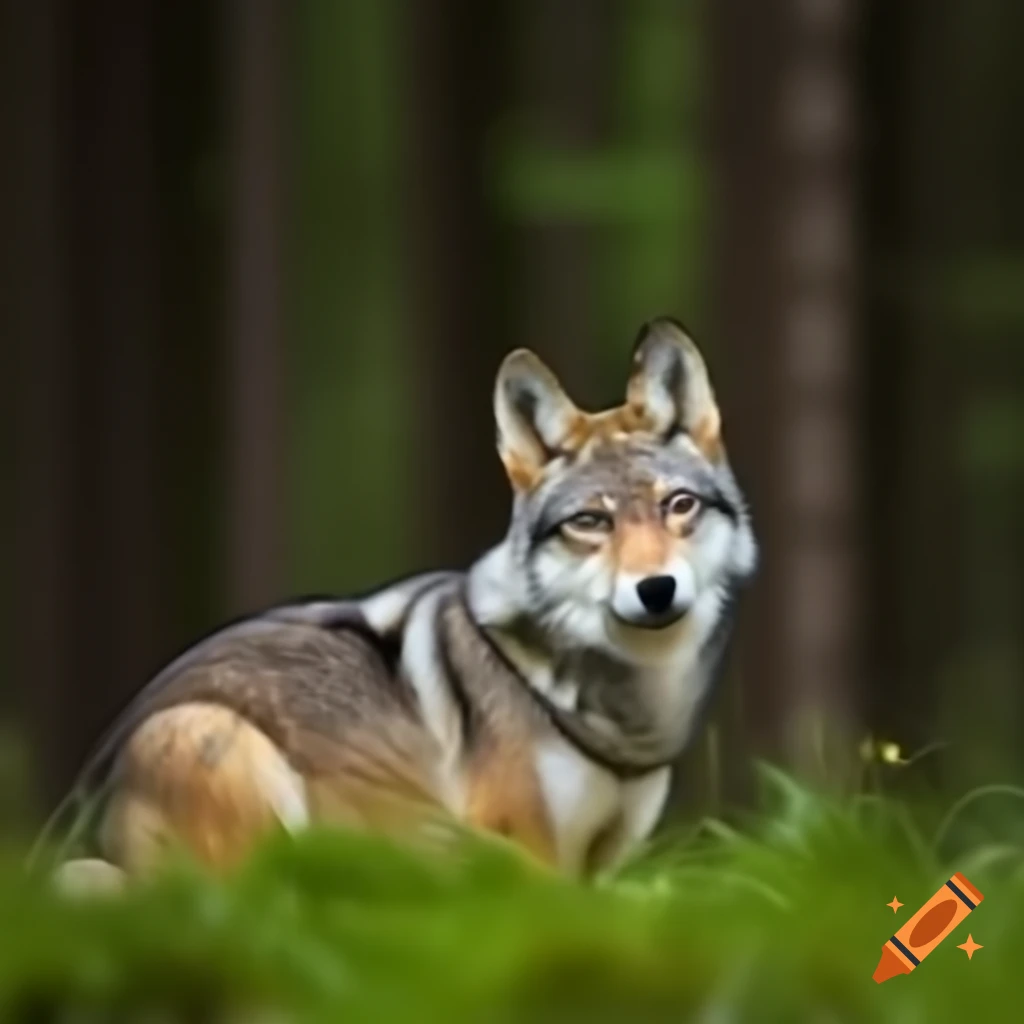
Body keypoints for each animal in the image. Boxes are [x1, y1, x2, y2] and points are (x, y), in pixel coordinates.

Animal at [45, 318, 756, 889]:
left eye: (678, 506)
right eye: (591, 522)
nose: (656, 588)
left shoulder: (603, 864)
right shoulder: (524, 845)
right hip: (210, 742)